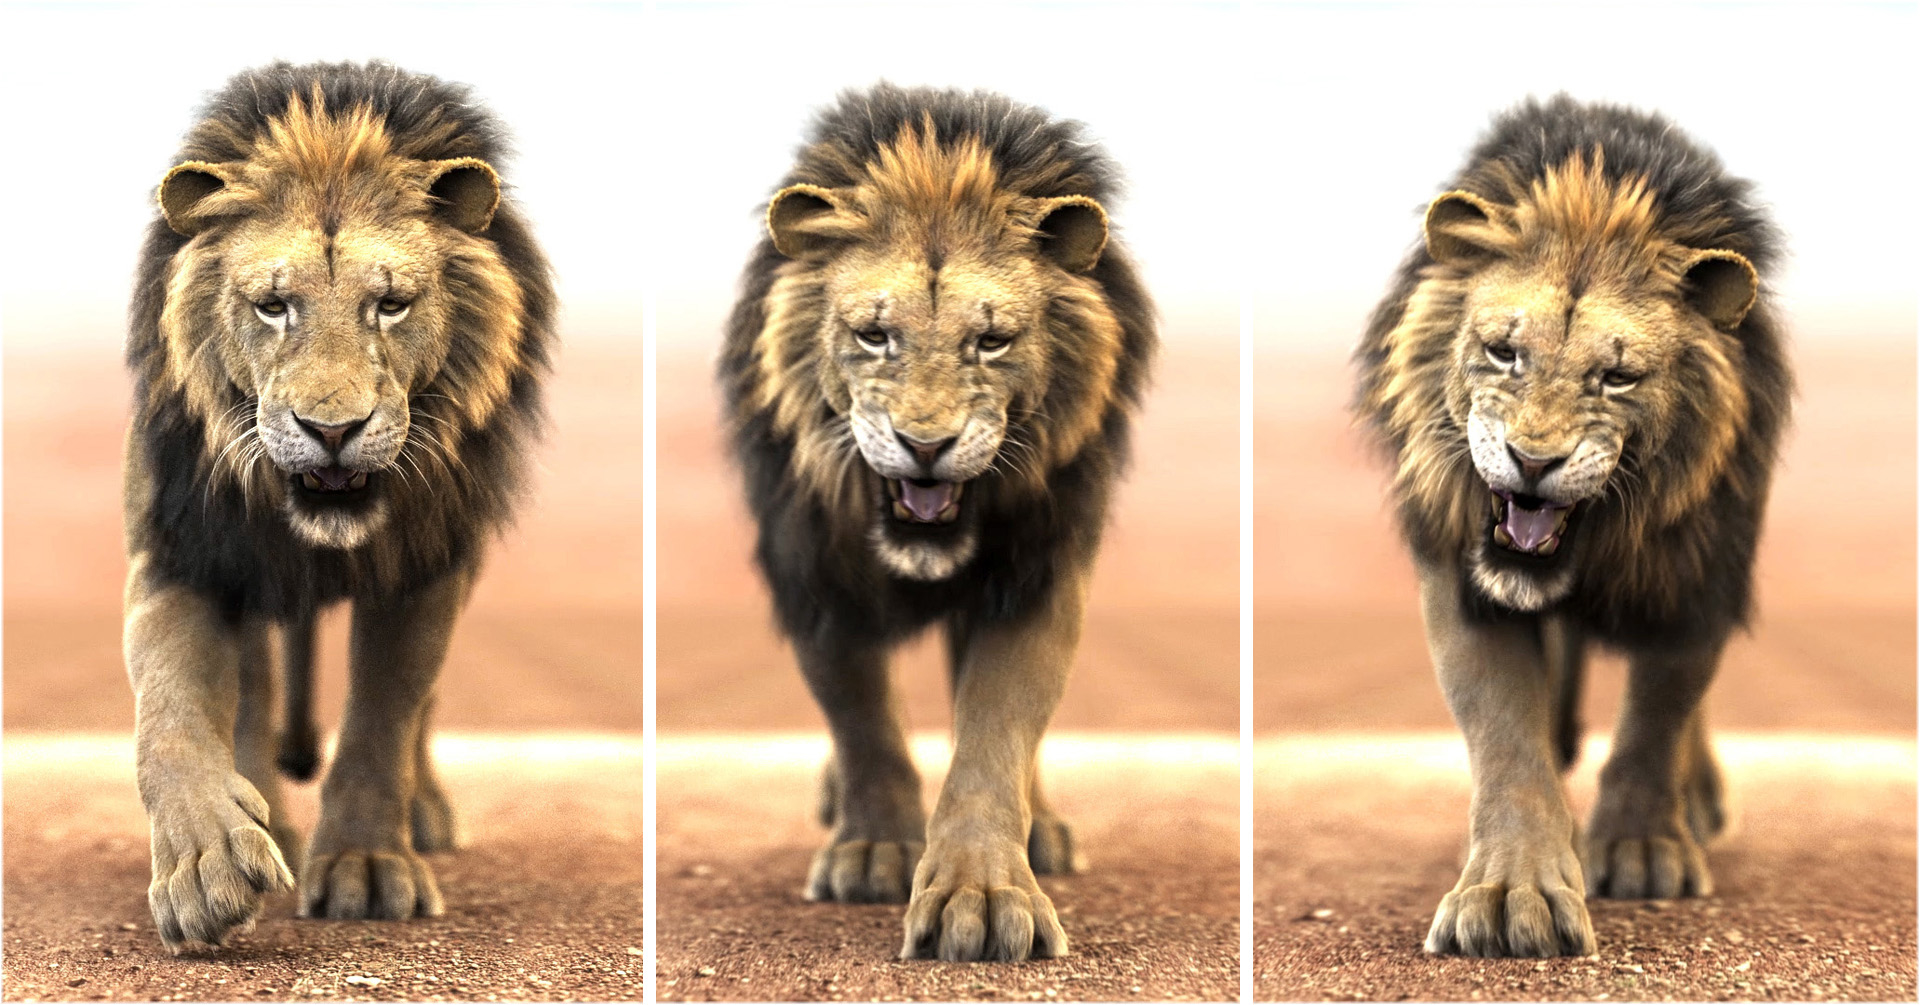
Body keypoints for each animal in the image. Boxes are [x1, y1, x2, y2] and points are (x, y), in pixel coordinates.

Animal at [122, 61, 554, 950]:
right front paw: (207, 861)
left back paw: (421, 815)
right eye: (272, 304)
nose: (331, 431)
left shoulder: (426, 559)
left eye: (390, 304)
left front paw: (365, 865)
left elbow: (384, 714)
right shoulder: (186, 543)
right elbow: (172, 707)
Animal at [719, 84, 1156, 962]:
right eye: (872, 334)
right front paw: (876, 847)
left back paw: (1042, 827)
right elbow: (862, 717)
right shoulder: (814, 569)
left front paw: (980, 893)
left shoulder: (1035, 574)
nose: (926, 446)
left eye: (990, 341)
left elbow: (995, 732)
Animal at [1355, 95, 1791, 957]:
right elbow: (1504, 734)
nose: (1532, 460)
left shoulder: (1699, 566)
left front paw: (1640, 847)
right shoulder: (1463, 581)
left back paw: (1696, 802)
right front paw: (1507, 891)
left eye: (1616, 376)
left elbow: (1660, 711)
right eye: (1503, 352)